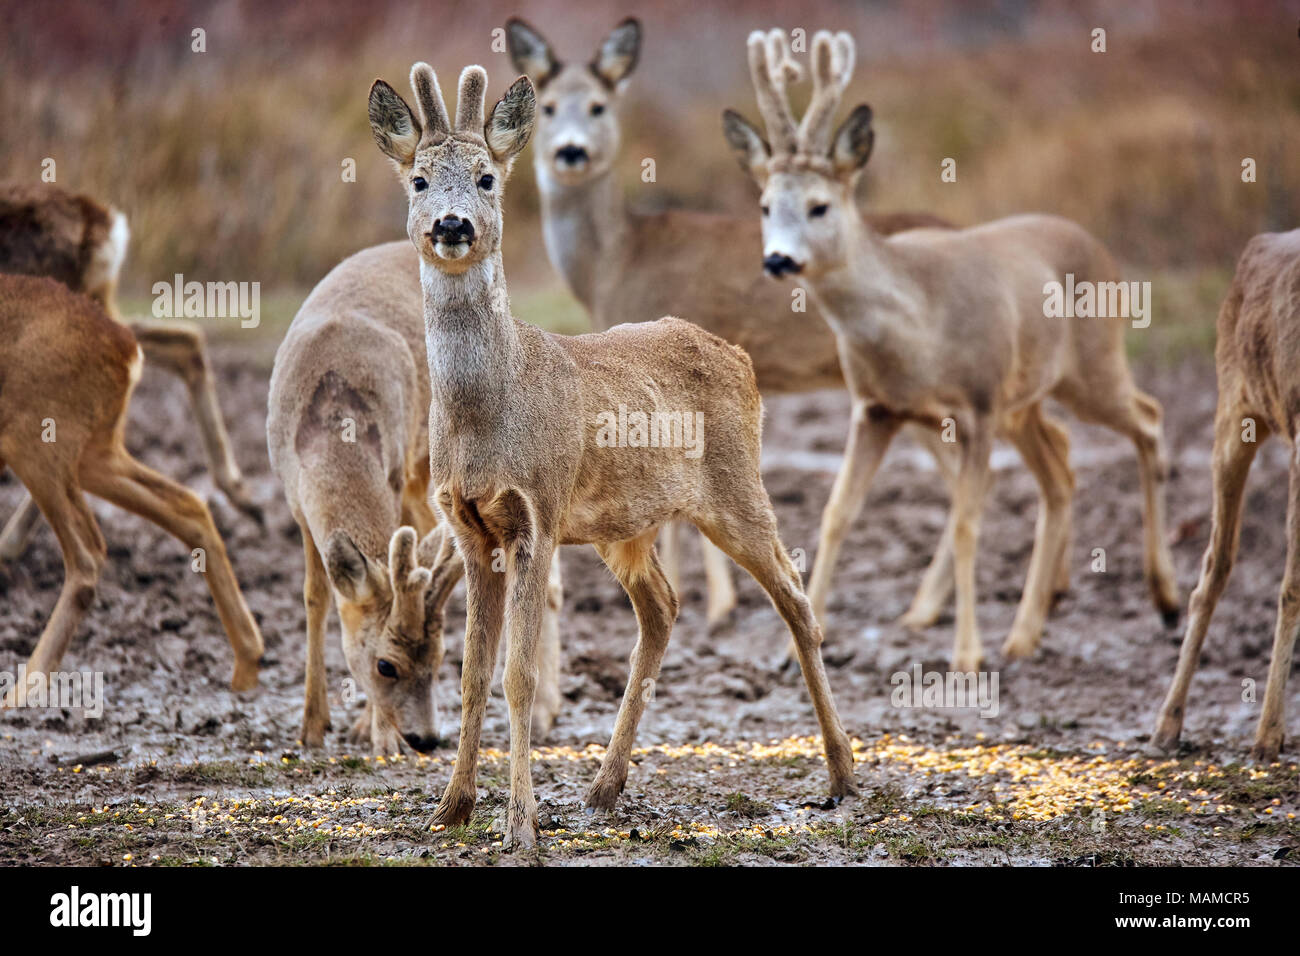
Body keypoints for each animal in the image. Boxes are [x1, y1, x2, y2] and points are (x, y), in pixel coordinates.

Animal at [0, 274, 263, 702]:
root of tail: (125, 346)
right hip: (91, 451)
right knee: (189, 505)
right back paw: (247, 663)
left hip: (34, 436)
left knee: (88, 556)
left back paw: (23, 697)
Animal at [267, 240, 564, 754]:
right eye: (385, 665)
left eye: (443, 657)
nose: (425, 738)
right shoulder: (296, 502)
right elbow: (314, 596)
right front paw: (312, 726)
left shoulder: (394, 466)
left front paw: (378, 737)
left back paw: (546, 712)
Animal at [367, 59, 856, 847]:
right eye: (417, 180)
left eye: (487, 178)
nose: (452, 225)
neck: (488, 411)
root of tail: (738, 356)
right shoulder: (470, 526)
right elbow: (473, 672)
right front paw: (450, 809)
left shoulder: (539, 509)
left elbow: (518, 676)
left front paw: (521, 829)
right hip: (623, 525)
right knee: (662, 608)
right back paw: (603, 789)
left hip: (736, 490)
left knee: (796, 599)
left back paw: (842, 777)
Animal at [722, 29, 1181, 672]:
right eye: (765, 205)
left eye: (819, 205)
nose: (778, 260)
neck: (918, 331)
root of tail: (1099, 245)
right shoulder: (875, 409)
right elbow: (837, 514)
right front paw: (799, 646)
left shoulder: (979, 405)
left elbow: (966, 523)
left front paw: (966, 653)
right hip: (1026, 402)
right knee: (1061, 473)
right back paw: (1025, 633)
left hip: (1091, 367)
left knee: (1148, 418)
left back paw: (1165, 600)